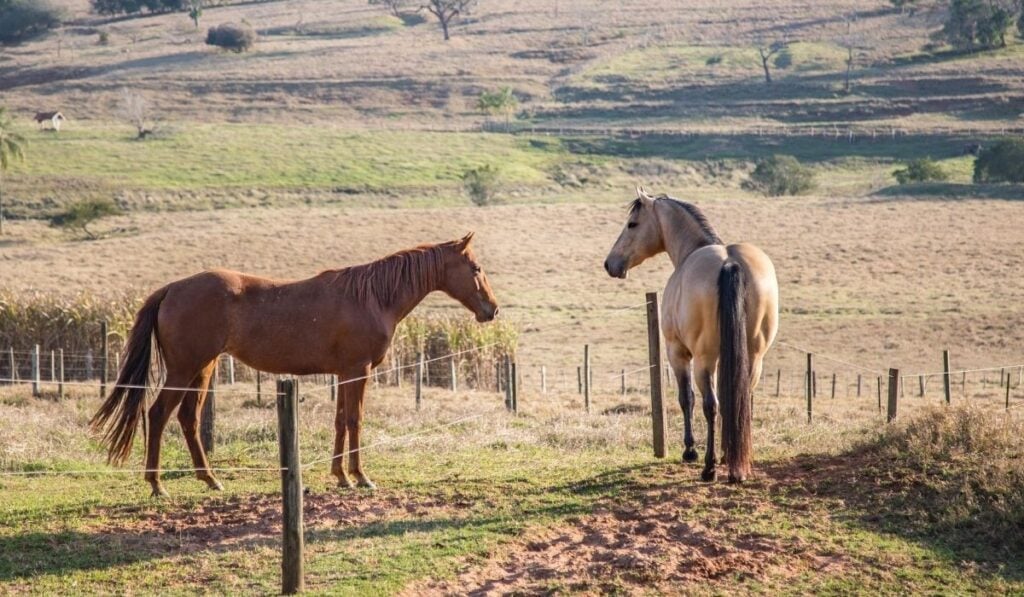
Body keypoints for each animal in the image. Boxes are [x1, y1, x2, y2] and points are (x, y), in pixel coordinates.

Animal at [91, 233, 499, 497]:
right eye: (476, 268)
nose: (492, 309)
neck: (372, 297)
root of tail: (172, 288)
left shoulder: (343, 374)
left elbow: (340, 421)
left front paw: (340, 476)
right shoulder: (359, 370)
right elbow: (355, 420)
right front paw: (360, 477)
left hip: (202, 369)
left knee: (188, 419)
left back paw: (209, 479)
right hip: (182, 370)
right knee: (158, 414)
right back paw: (156, 484)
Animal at [603, 189, 778, 483]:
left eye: (632, 224)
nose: (610, 263)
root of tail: (729, 262)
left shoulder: (678, 353)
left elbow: (687, 398)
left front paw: (690, 451)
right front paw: (724, 453)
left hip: (702, 359)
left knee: (711, 405)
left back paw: (709, 468)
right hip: (753, 358)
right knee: (742, 402)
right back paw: (738, 462)